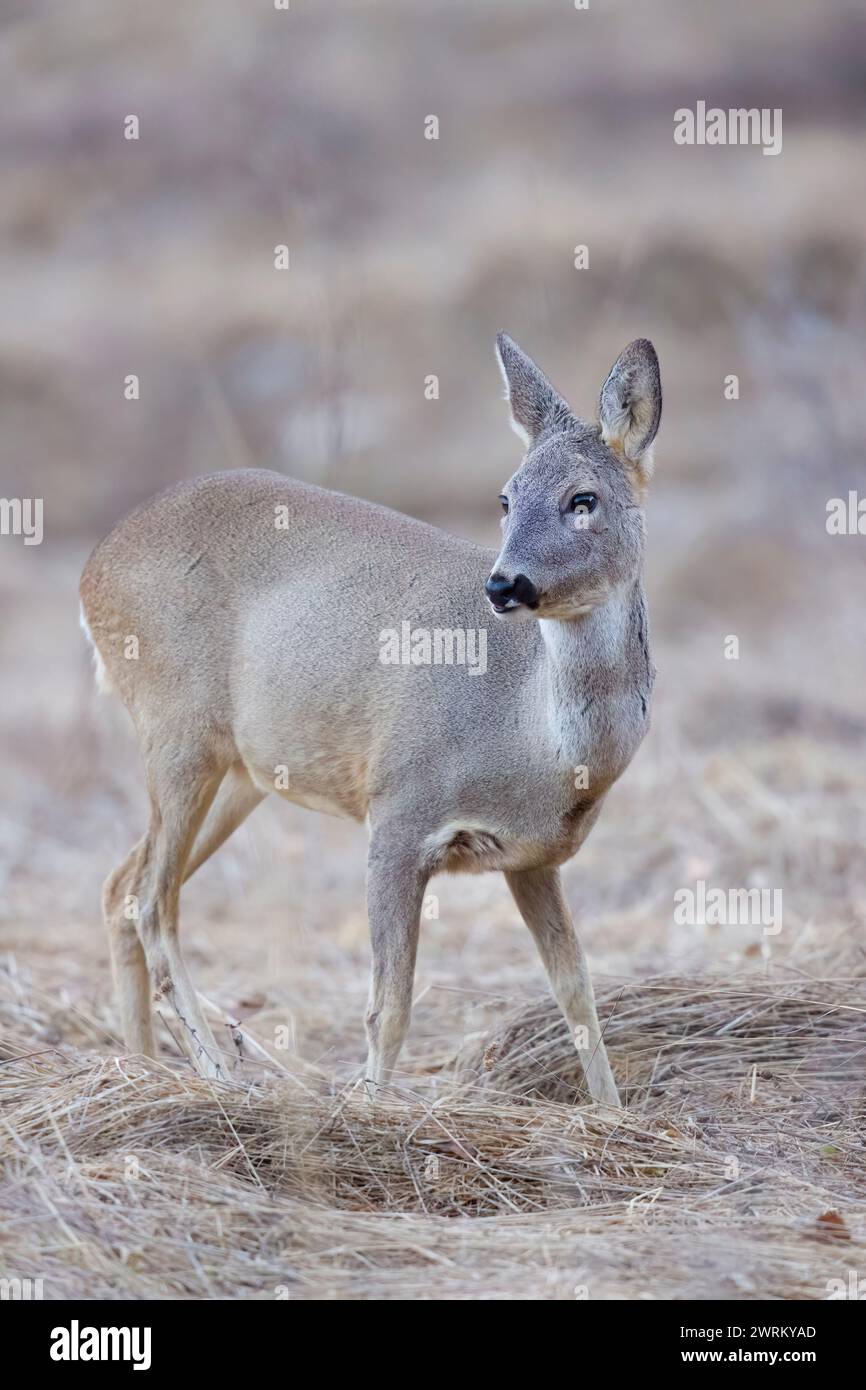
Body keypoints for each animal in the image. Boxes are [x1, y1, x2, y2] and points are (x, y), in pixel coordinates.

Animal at [79, 333, 661, 1106]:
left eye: (583, 499)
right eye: (505, 498)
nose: (504, 584)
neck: (538, 743)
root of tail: (92, 568)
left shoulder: (531, 857)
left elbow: (577, 992)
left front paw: (614, 1116)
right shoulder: (399, 811)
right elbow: (391, 1005)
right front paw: (375, 1110)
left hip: (241, 771)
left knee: (122, 886)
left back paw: (143, 1068)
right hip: (175, 726)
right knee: (151, 902)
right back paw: (218, 1073)